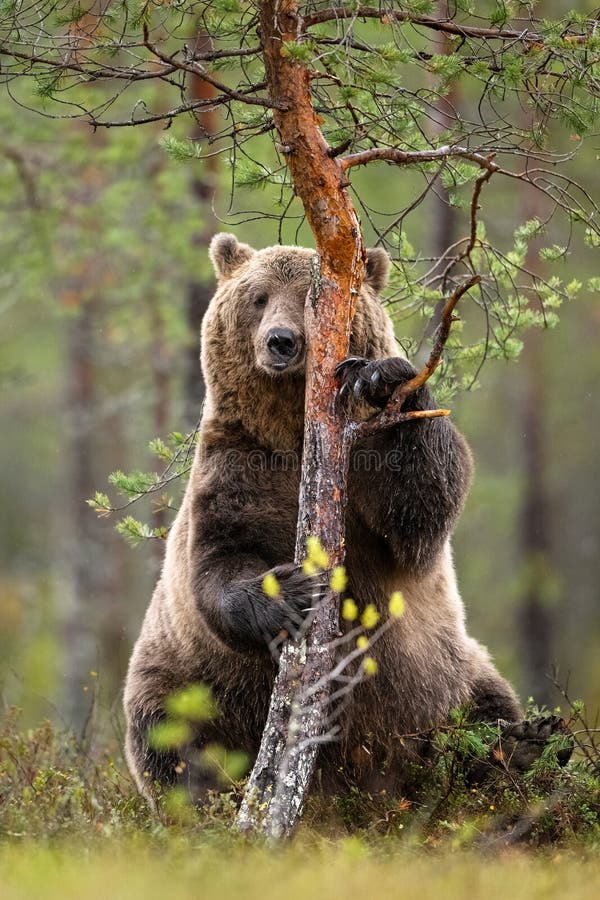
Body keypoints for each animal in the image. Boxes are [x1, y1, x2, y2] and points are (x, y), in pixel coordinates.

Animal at [124, 233, 558, 805]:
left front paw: (380, 377)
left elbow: (422, 507)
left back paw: (525, 745)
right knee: (172, 742)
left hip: (443, 675)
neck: (294, 431)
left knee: (483, 708)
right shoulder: (235, 467)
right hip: (190, 685)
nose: (282, 341)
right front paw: (290, 590)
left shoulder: (368, 474)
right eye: (259, 297)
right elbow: (217, 562)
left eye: (310, 299)